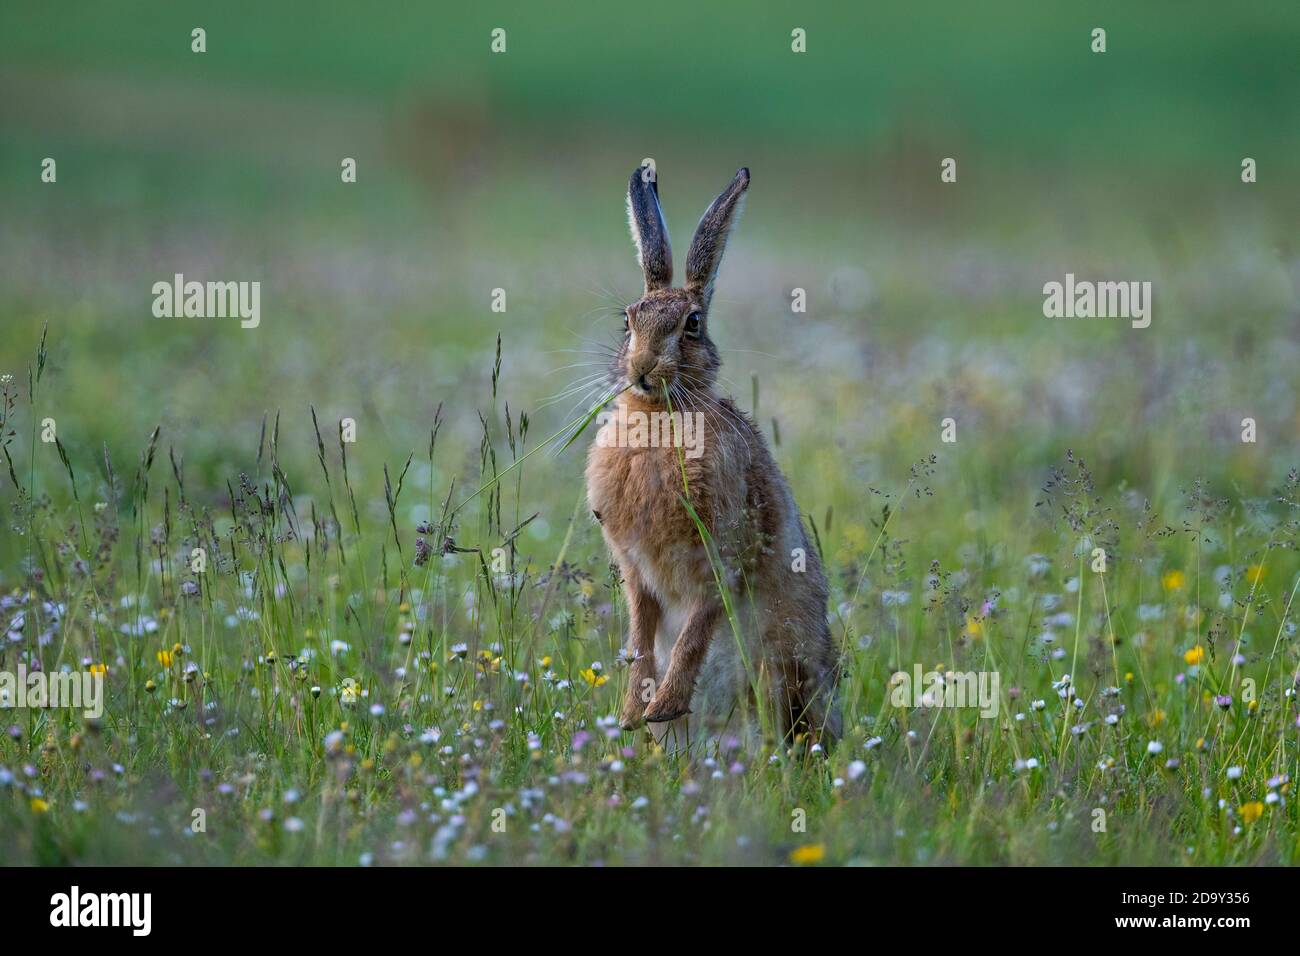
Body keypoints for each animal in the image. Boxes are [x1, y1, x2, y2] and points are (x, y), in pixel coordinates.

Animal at [585, 163, 842, 752]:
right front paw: (634, 711)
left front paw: (663, 704)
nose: (642, 368)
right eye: (628, 320)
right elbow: (639, 636)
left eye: (693, 324)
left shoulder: (723, 556)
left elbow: (695, 631)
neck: (661, 417)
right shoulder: (635, 570)